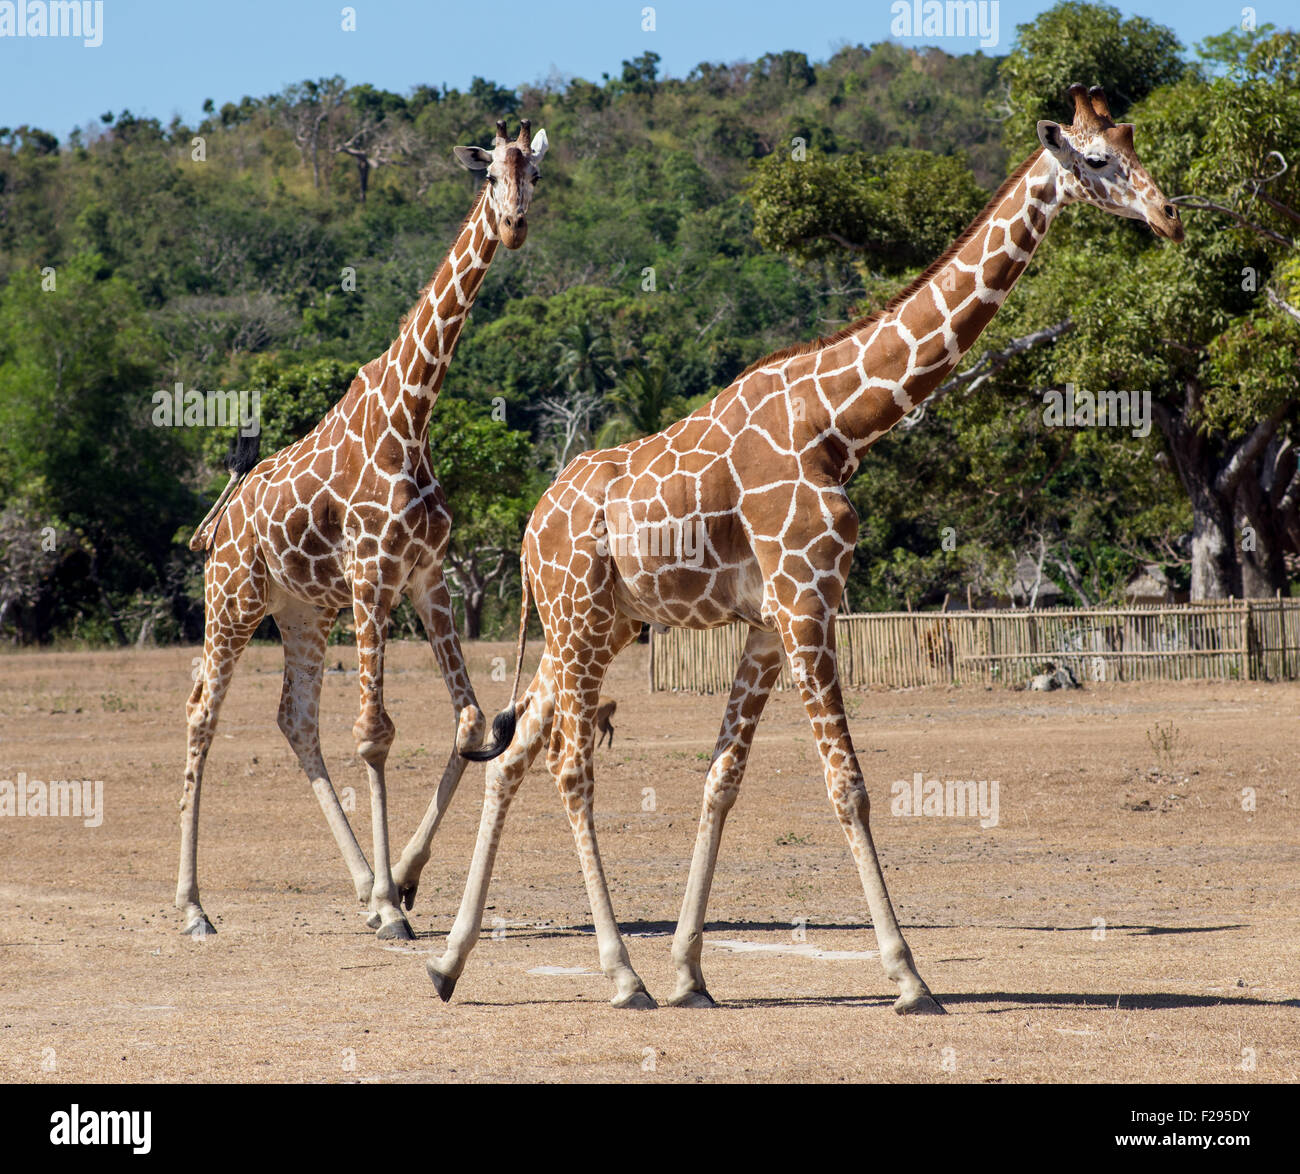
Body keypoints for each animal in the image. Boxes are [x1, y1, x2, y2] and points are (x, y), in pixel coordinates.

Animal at [176, 119, 549, 942]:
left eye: (536, 174)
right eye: (488, 175)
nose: (514, 226)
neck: (413, 414)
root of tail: (223, 515)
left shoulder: (427, 577)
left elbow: (471, 720)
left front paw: (401, 882)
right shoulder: (374, 576)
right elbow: (375, 733)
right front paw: (389, 905)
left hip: (302, 611)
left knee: (295, 718)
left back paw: (353, 881)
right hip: (232, 601)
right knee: (202, 714)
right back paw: (192, 907)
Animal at [426, 85, 1184, 1009]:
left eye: (1134, 140)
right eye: (1100, 160)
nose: (1169, 215)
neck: (838, 424)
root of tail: (533, 524)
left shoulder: (766, 620)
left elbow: (722, 780)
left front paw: (690, 973)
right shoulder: (805, 599)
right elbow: (847, 785)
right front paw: (908, 976)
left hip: (598, 625)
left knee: (512, 760)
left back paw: (449, 963)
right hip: (572, 618)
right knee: (569, 770)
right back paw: (619, 975)